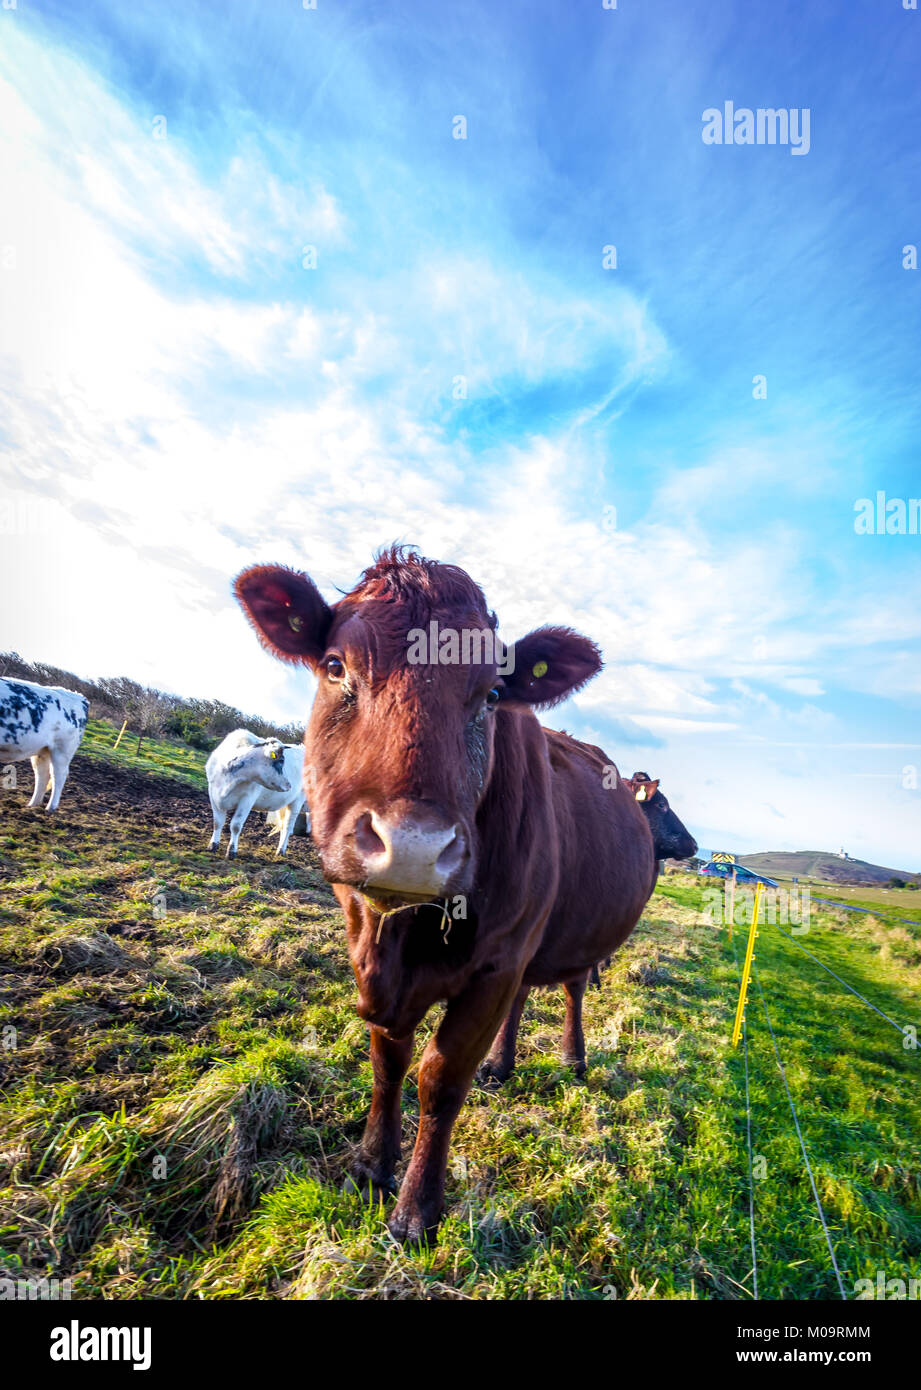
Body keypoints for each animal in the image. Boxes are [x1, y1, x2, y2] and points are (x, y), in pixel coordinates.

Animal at [0, 677, 89, 811]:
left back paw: (50, 808)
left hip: (62, 750)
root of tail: (80, 697)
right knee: (42, 774)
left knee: (58, 775)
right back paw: (31, 806)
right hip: (42, 750)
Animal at [205, 729, 306, 859]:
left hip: (297, 801)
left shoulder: (247, 799)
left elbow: (236, 825)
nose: (289, 785)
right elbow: (217, 823)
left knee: (288, 827)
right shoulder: (213, 794)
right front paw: (212, 846)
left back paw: (281, 851)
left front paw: (232, 851)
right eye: (281, 761)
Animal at [233, 546, 655, 1244]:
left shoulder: (496, 963)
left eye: (491, 695)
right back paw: (502, 1066)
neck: (406, 938)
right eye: (335, 666)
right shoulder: (371, 954)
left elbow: (440, 1077)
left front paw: (416, 1210)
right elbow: (389, 1057)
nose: (413, 846)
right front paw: (371, 1166)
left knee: (569, 986)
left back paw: (571, 1058)